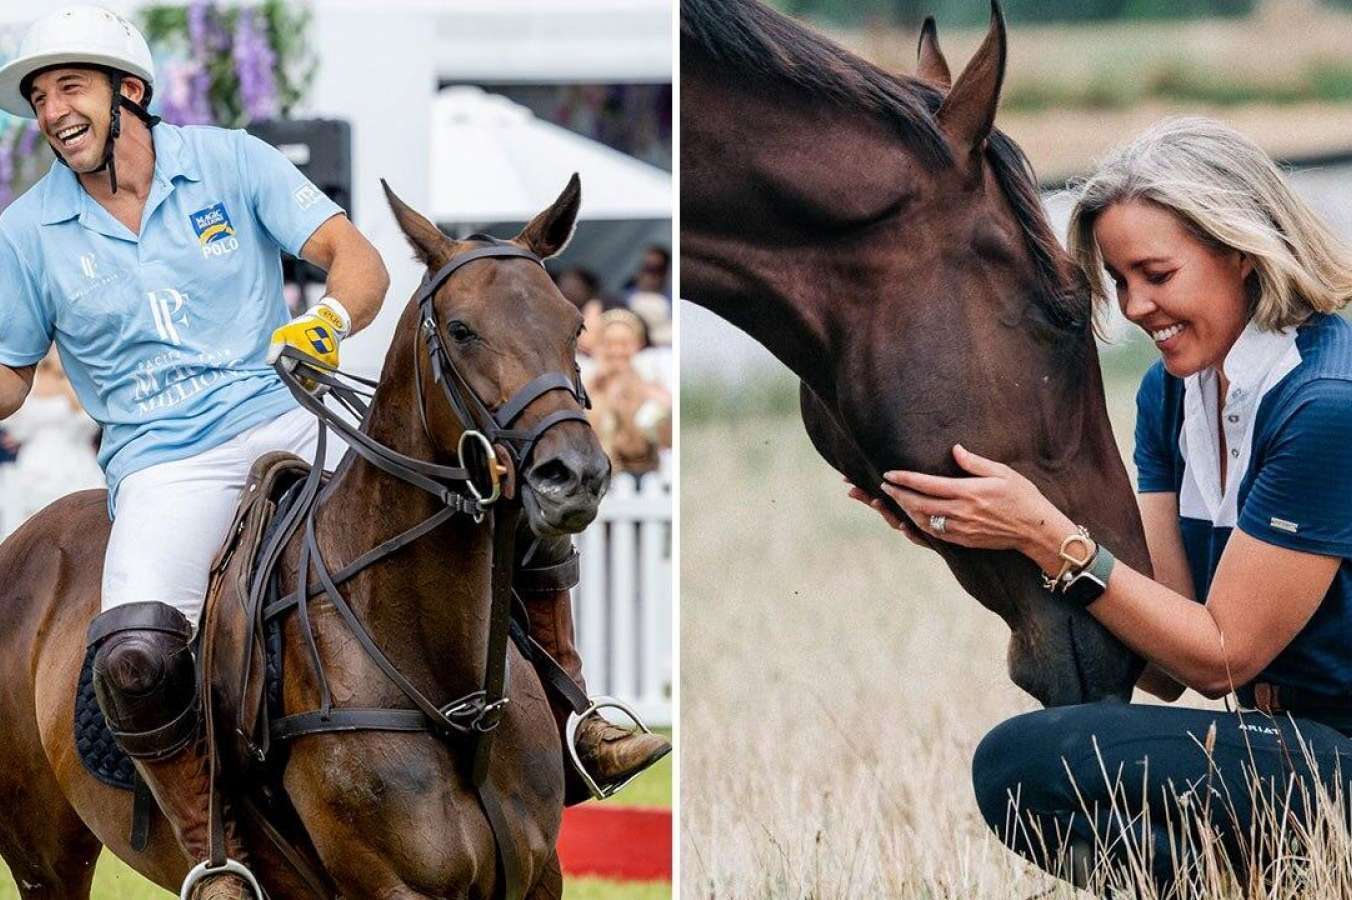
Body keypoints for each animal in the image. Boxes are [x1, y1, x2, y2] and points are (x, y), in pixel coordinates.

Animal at [0, 176, 604, 899]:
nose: (575, 474)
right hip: (42, 852)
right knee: (137, 659)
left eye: (574, 324)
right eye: (461, 330)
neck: (456, 695)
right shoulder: (390, 885)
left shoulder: (541, 873)